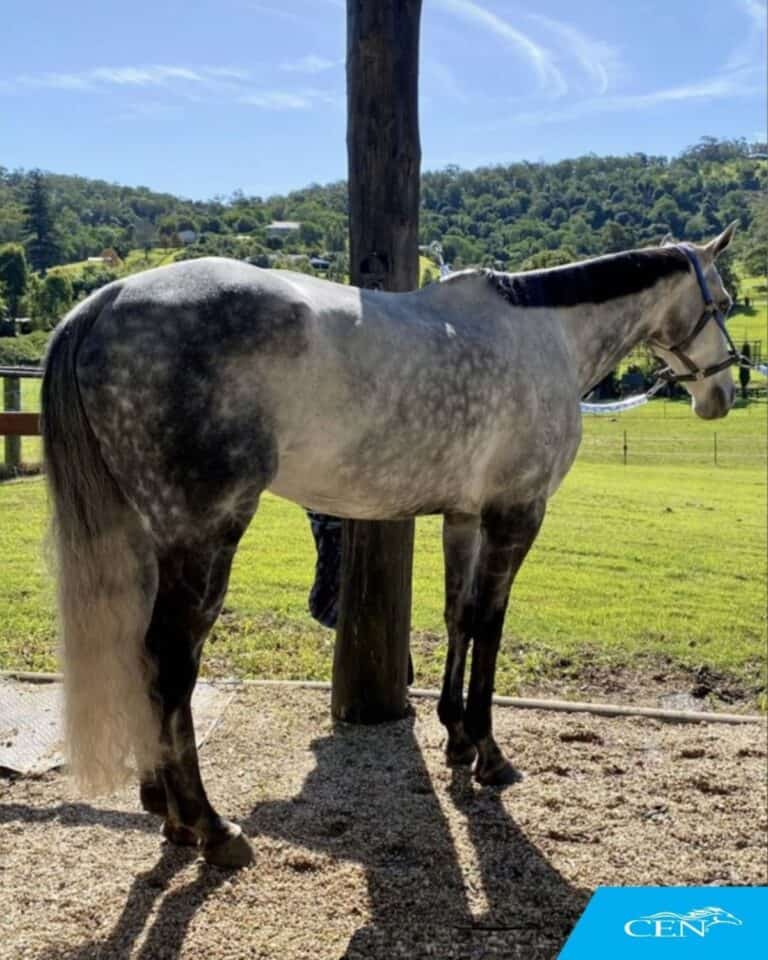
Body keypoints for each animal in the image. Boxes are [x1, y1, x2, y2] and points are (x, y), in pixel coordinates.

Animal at [41, 223, 738, 867]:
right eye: (726, 300)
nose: (723, 394)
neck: (547, 334)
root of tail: (108, 297)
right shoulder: (516, 516)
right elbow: (490, 627)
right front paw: (489, 753)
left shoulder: (464, 517)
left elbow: (460, 618)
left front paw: (456, 737)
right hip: (204, 537)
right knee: (169, 661)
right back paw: (208, 827)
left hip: (145, 535)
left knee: (136, 653)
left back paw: (160, 801)